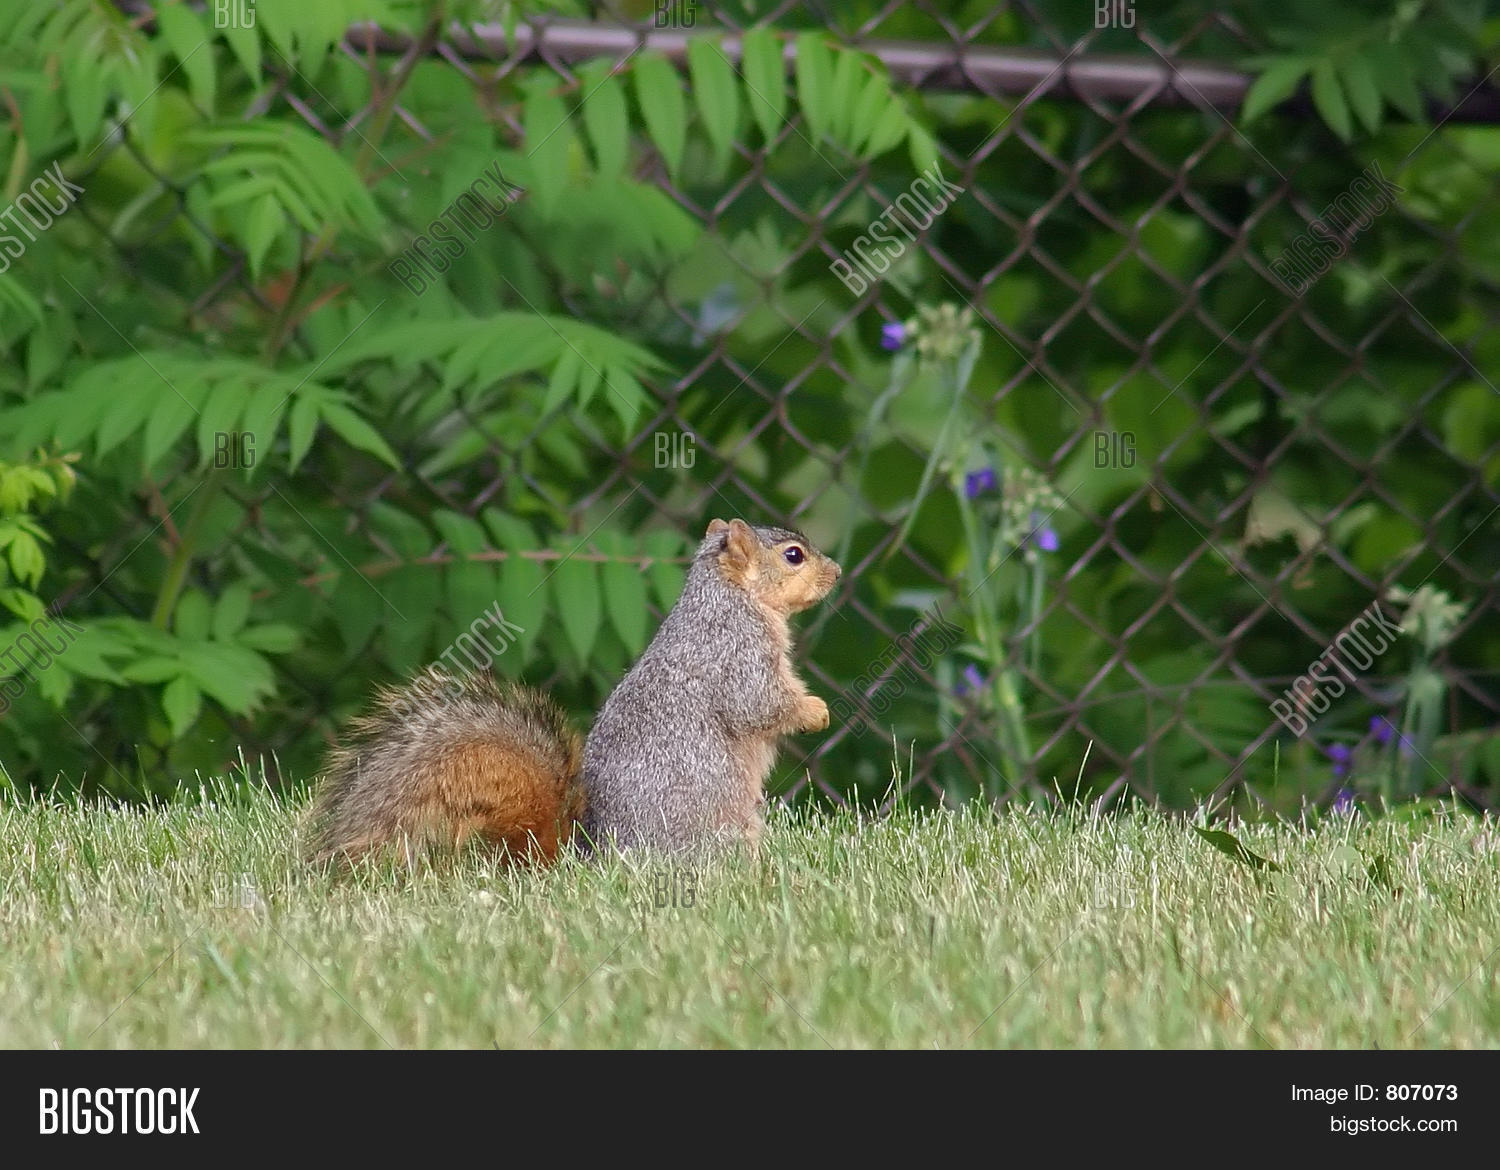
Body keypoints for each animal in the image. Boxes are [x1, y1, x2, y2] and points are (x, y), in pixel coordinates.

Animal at [306, 518, 841, 864]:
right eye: (793, 556)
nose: (836, 572)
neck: (731, 599)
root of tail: (594, 859)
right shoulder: (737, 655)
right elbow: (760, 704)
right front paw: (815, 711)